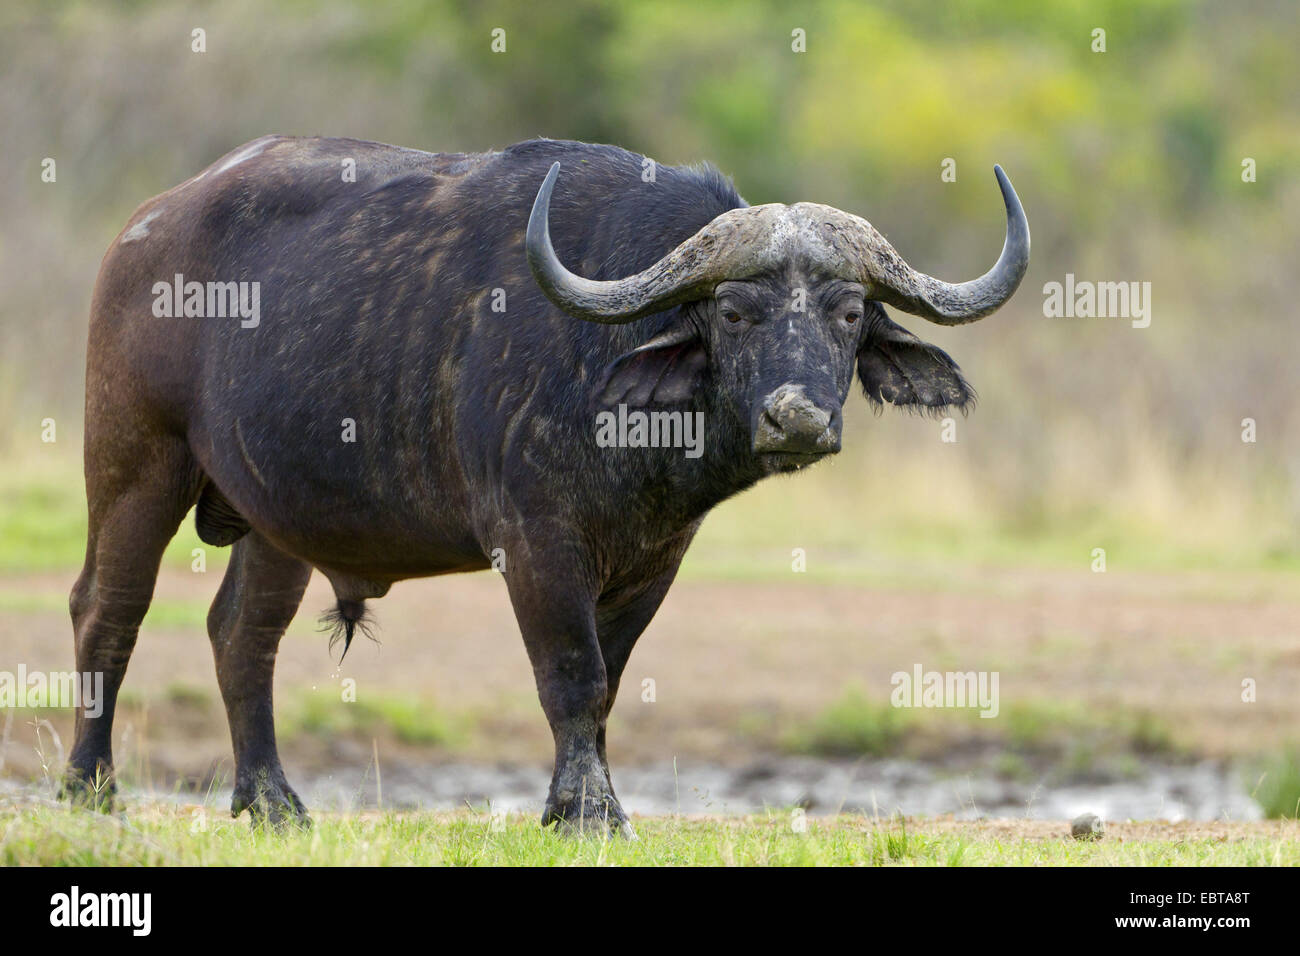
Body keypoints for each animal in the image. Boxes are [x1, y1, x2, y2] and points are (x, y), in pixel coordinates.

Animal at [66, 136, 1028, 835]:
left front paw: (573, 803)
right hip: (134, 463)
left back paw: (270, 801)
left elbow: (609, 686)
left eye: (850, 312)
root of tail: (145, 227)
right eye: (733, 310)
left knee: (241, 636)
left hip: (278, 518)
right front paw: (591, 816)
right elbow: (571, 675)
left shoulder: (654, 562)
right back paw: (90, 787)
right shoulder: (535, 545)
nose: (797, 419)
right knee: (107, 609)